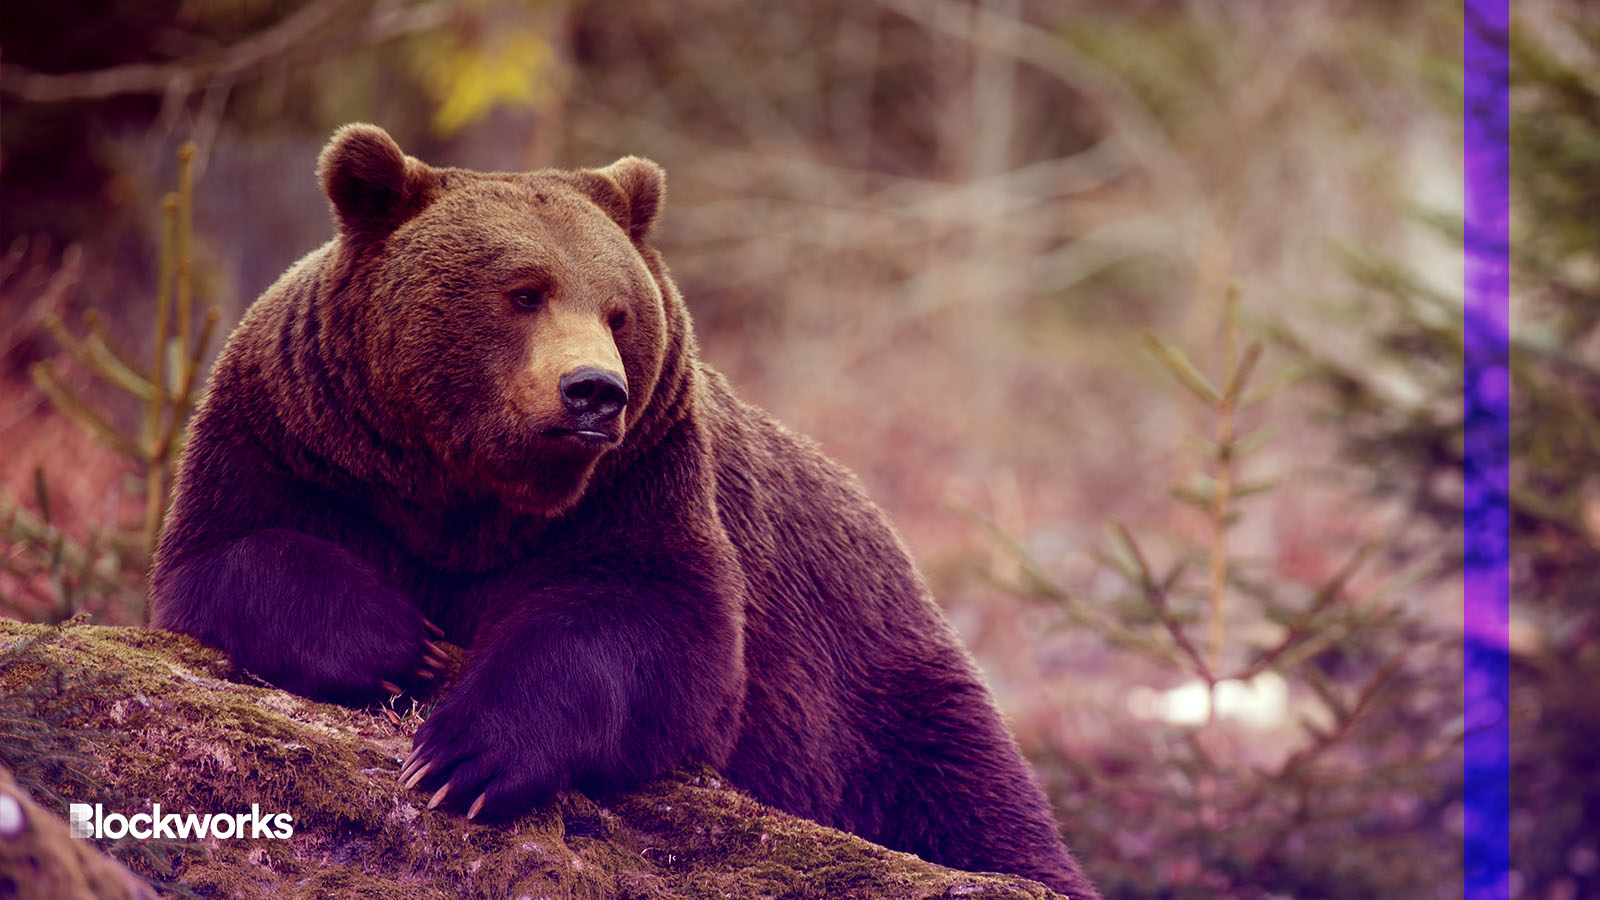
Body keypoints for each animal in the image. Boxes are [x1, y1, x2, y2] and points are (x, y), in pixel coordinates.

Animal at [150, 123, 1099, 898]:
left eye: (617, 311)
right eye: (523, 290)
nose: (593, 392)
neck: (466, 489)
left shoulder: (638, 486)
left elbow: (652, 630)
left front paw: (466, 754)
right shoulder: (298, 440)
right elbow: (229, 555)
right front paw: (398, 643)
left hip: (872, 683)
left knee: (969, 794)